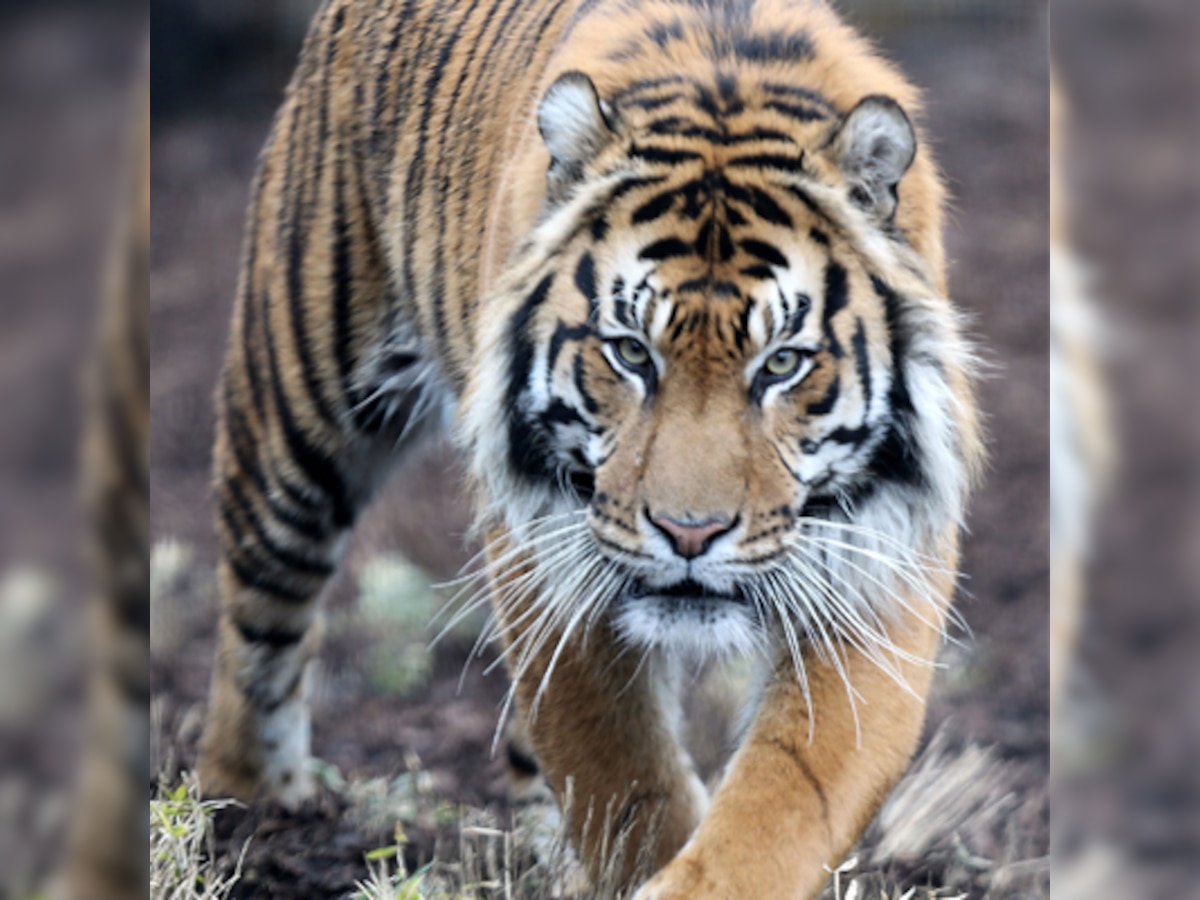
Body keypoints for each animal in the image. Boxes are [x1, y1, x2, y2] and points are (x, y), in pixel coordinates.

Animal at [195, 0, 984, 896]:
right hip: (298, 408)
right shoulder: (543, 551)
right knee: (262, 621)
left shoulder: (881, 564)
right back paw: (249, 812)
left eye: (781, 364)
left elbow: (785, 798)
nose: (687, 534)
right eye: (631, 353)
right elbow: (619, 772)